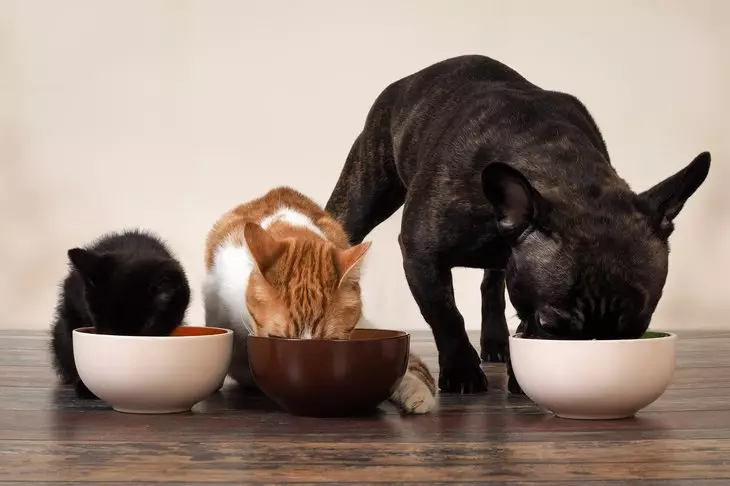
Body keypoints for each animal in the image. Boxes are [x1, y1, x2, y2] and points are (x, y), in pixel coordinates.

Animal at [326, 54, 712, 394]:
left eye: (638, 327)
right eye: (550, 324)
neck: (562, 171)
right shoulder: (421, 254)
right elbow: (445, 315)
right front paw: (462, 372)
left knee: (492, 284)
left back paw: (496, 340)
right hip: (362, 193)